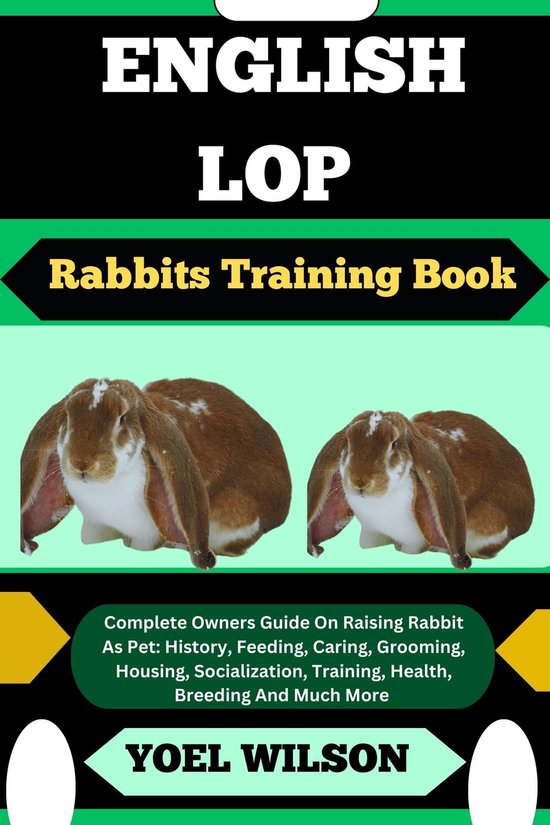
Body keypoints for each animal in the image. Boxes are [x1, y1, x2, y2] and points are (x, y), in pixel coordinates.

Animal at [21, 377, 291, 569]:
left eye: (122, 418)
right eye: (67, 415)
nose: (81, 463)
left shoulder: (147, 532)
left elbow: (141, 546)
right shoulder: (95, 522)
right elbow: (91, 538)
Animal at [307, 410, 534, 569]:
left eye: (394, 444)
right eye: (348, 441)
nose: (360, 481)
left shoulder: (413, 539)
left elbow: (409, 550)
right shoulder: (371, 530)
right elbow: (368, 543)